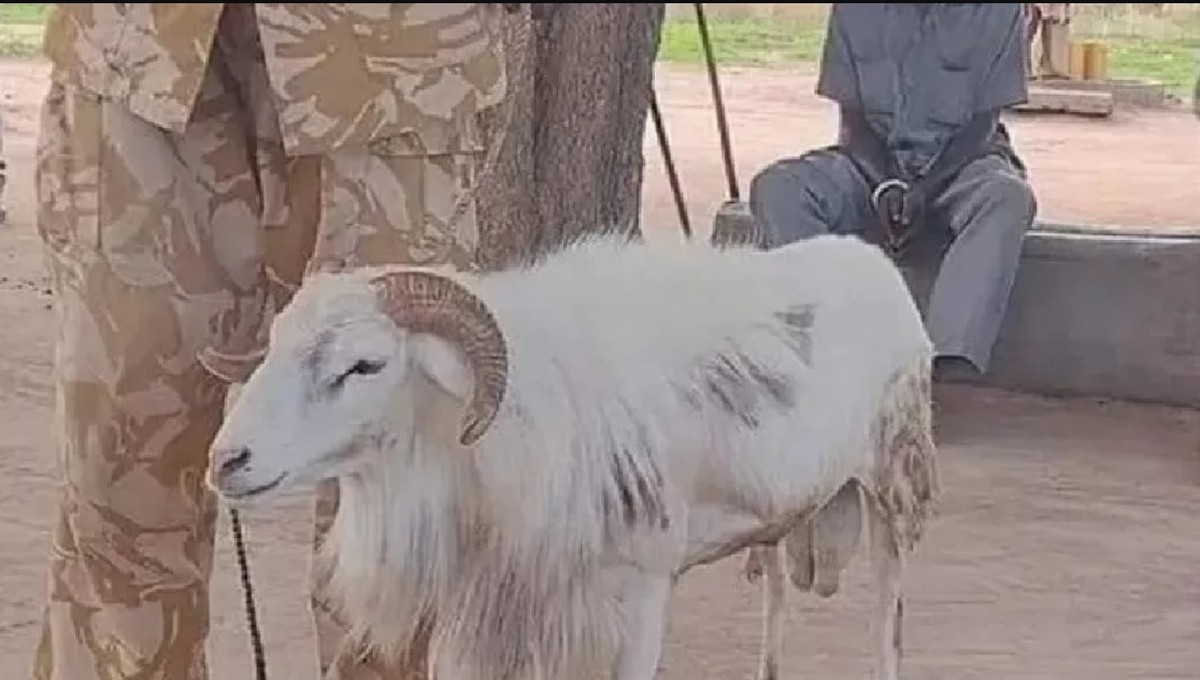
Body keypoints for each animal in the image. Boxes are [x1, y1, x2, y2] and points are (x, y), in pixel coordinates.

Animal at [206, 232, 942, 680]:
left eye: (365, 364)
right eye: (275, 345)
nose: (226, 462)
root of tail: (873, 258)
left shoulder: (643, 591)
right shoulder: (496, 608)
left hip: (896, 494)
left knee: (890, 621)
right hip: (784, 524)